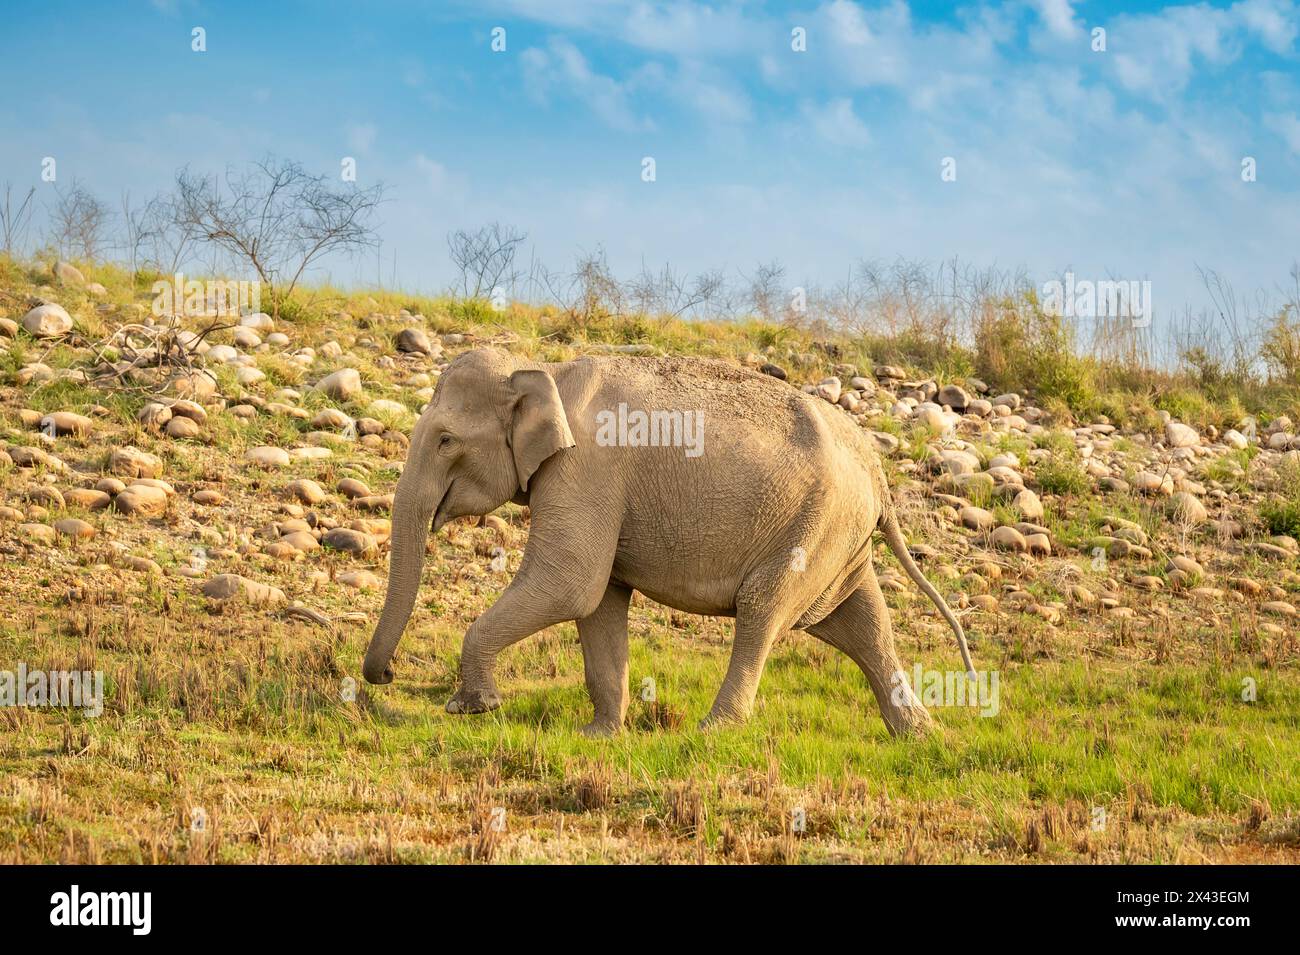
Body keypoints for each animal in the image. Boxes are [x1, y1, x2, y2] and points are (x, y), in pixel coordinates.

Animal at [362, 347, 974, 736]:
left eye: (446, 440)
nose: (386, 676)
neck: (544, 371)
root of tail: (877, 472)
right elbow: (599, 601)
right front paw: (598, 736)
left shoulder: (585, 471)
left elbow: (570, 584)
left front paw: (471, 709)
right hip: (838, 536)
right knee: (861, 622)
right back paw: (923, 736)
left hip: (814, 526)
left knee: (764, 611)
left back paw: (712, 731)